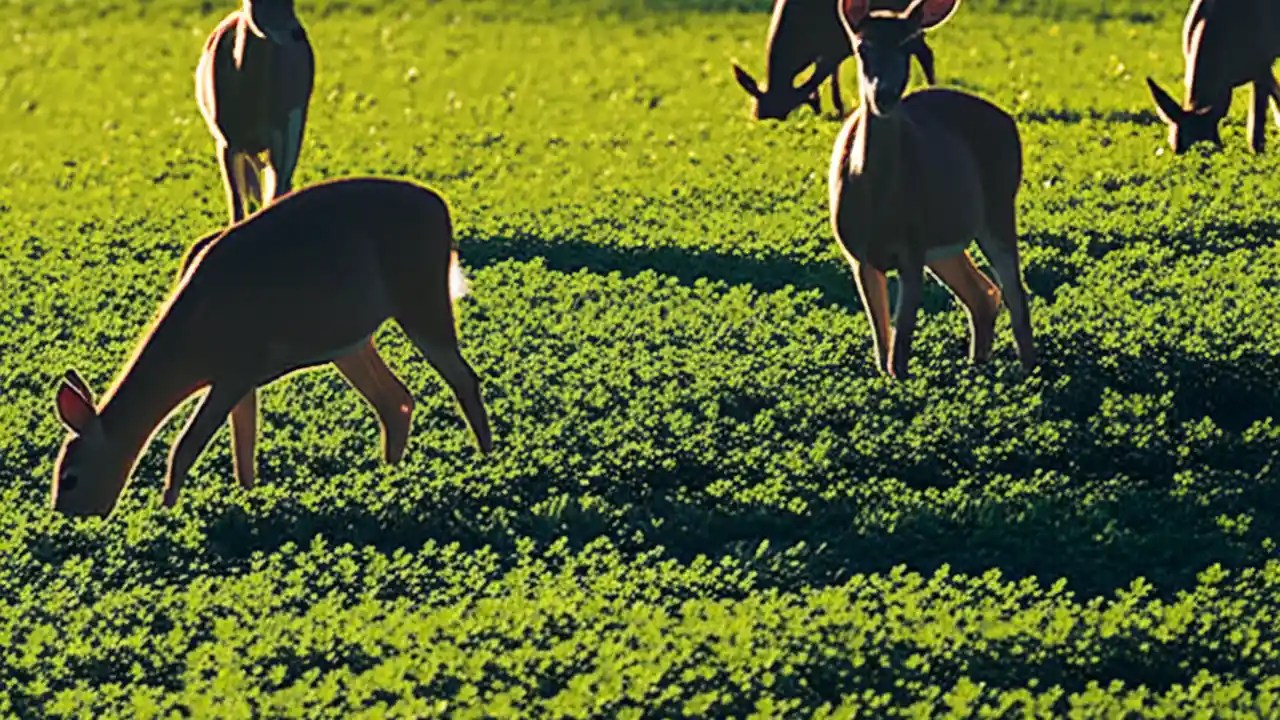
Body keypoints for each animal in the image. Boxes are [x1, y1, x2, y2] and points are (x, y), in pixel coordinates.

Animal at [51, 178, 494, 518]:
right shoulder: (241, 379)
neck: (191, 337)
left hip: (421, 296)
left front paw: (167, 512)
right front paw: (248, 497)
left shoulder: (236, 369)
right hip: (349, 341)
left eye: (70, 478)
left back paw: (487, 461)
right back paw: (389, 476)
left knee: (463, 379)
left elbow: (185, 446)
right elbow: (243, 446)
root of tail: (440, 207)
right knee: (397, 401)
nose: (65, 515)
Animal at [196, 0, 314, 222]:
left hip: (295, 123)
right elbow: (237, 203)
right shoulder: (227, 141)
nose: (297, 33)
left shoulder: (281, 133)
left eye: (291, 2)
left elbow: (275, 190)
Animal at [732, 0, 937, 120]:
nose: (757, 118)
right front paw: (830, 107)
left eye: (779, 113)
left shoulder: (839, 44)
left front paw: (835, 108)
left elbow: (823, 75)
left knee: (925, 51)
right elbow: (831, 75)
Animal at [828, 0, 1036, 379]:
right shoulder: (859, 255)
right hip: (944, 243)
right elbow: (882, 344)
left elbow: (899, 347)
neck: (877, 203)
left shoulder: (912, 249)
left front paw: (901, 379)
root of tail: (1008, 120)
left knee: (1013, 289)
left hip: (999, 204)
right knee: (983, 293)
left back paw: (1028, 368)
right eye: (862, 48)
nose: (885, 95)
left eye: (909, 47)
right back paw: (976, 364)